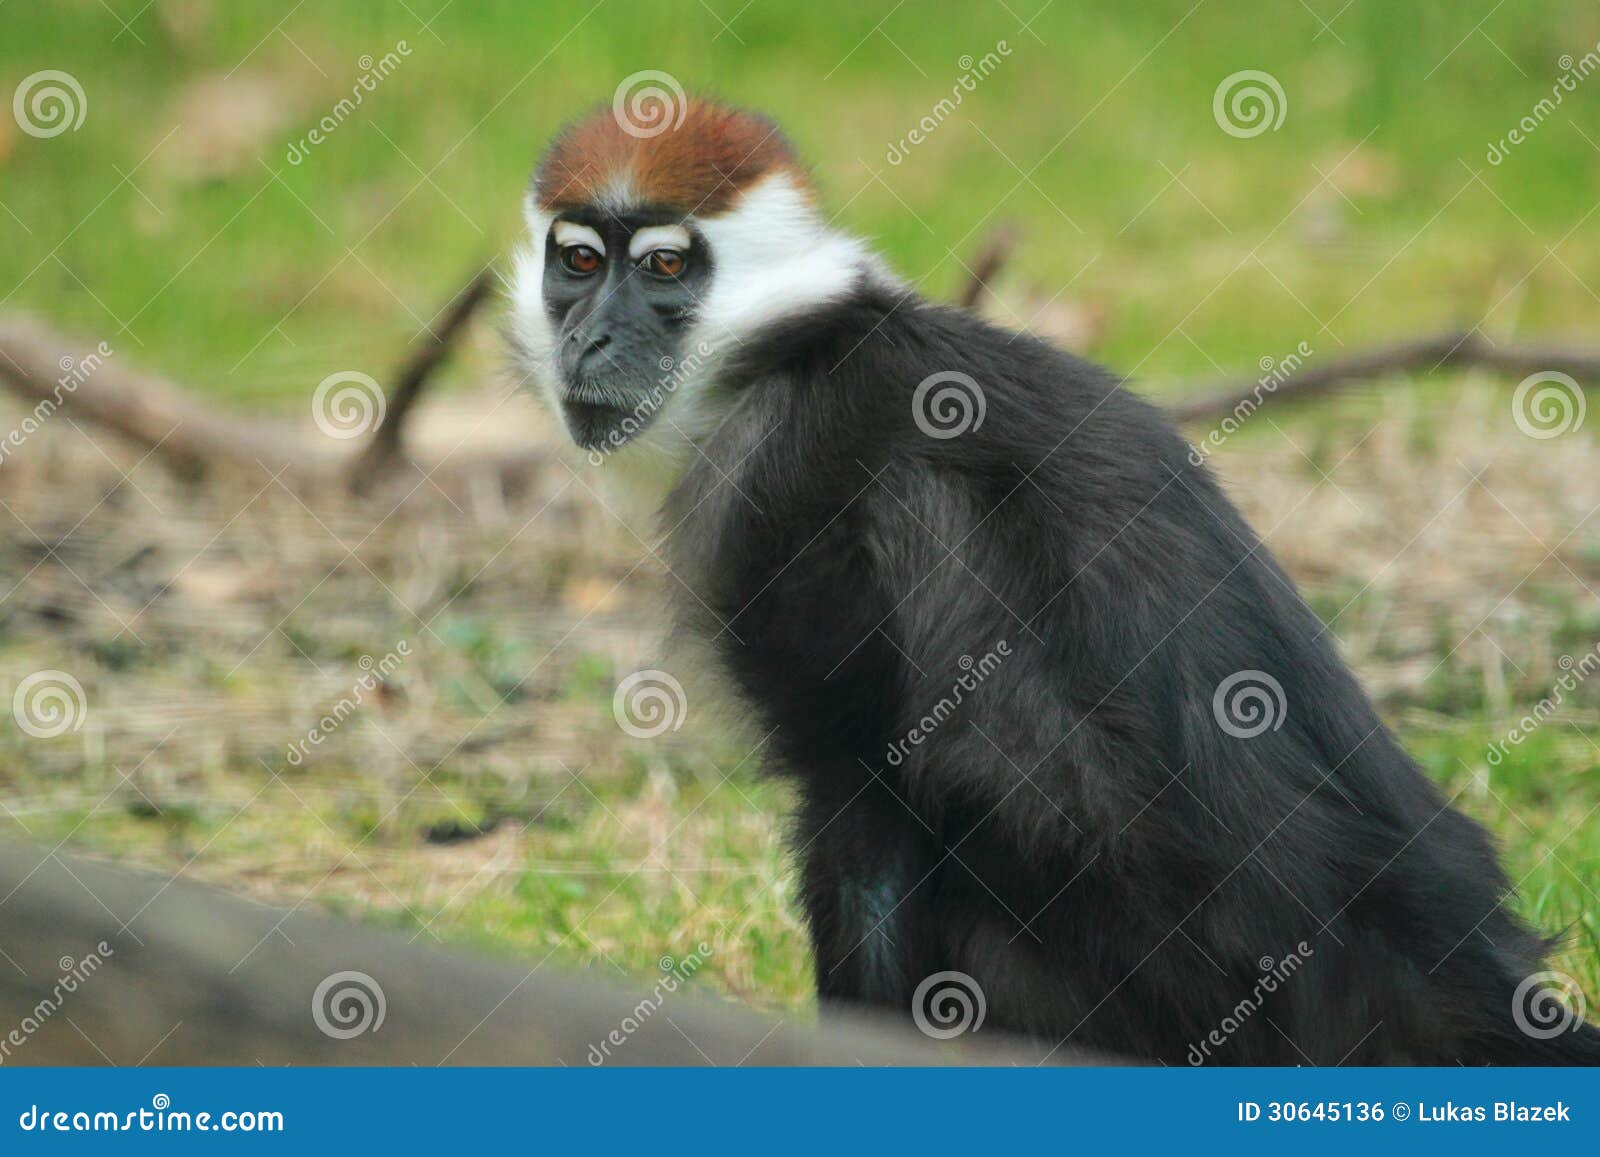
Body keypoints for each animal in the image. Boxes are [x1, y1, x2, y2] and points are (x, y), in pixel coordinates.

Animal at [509, 97, 1600, 1065]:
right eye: (579, 261)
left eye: (663, 265)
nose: (588, 340)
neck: (795, 350)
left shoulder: (780, 491)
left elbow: (891, 788)